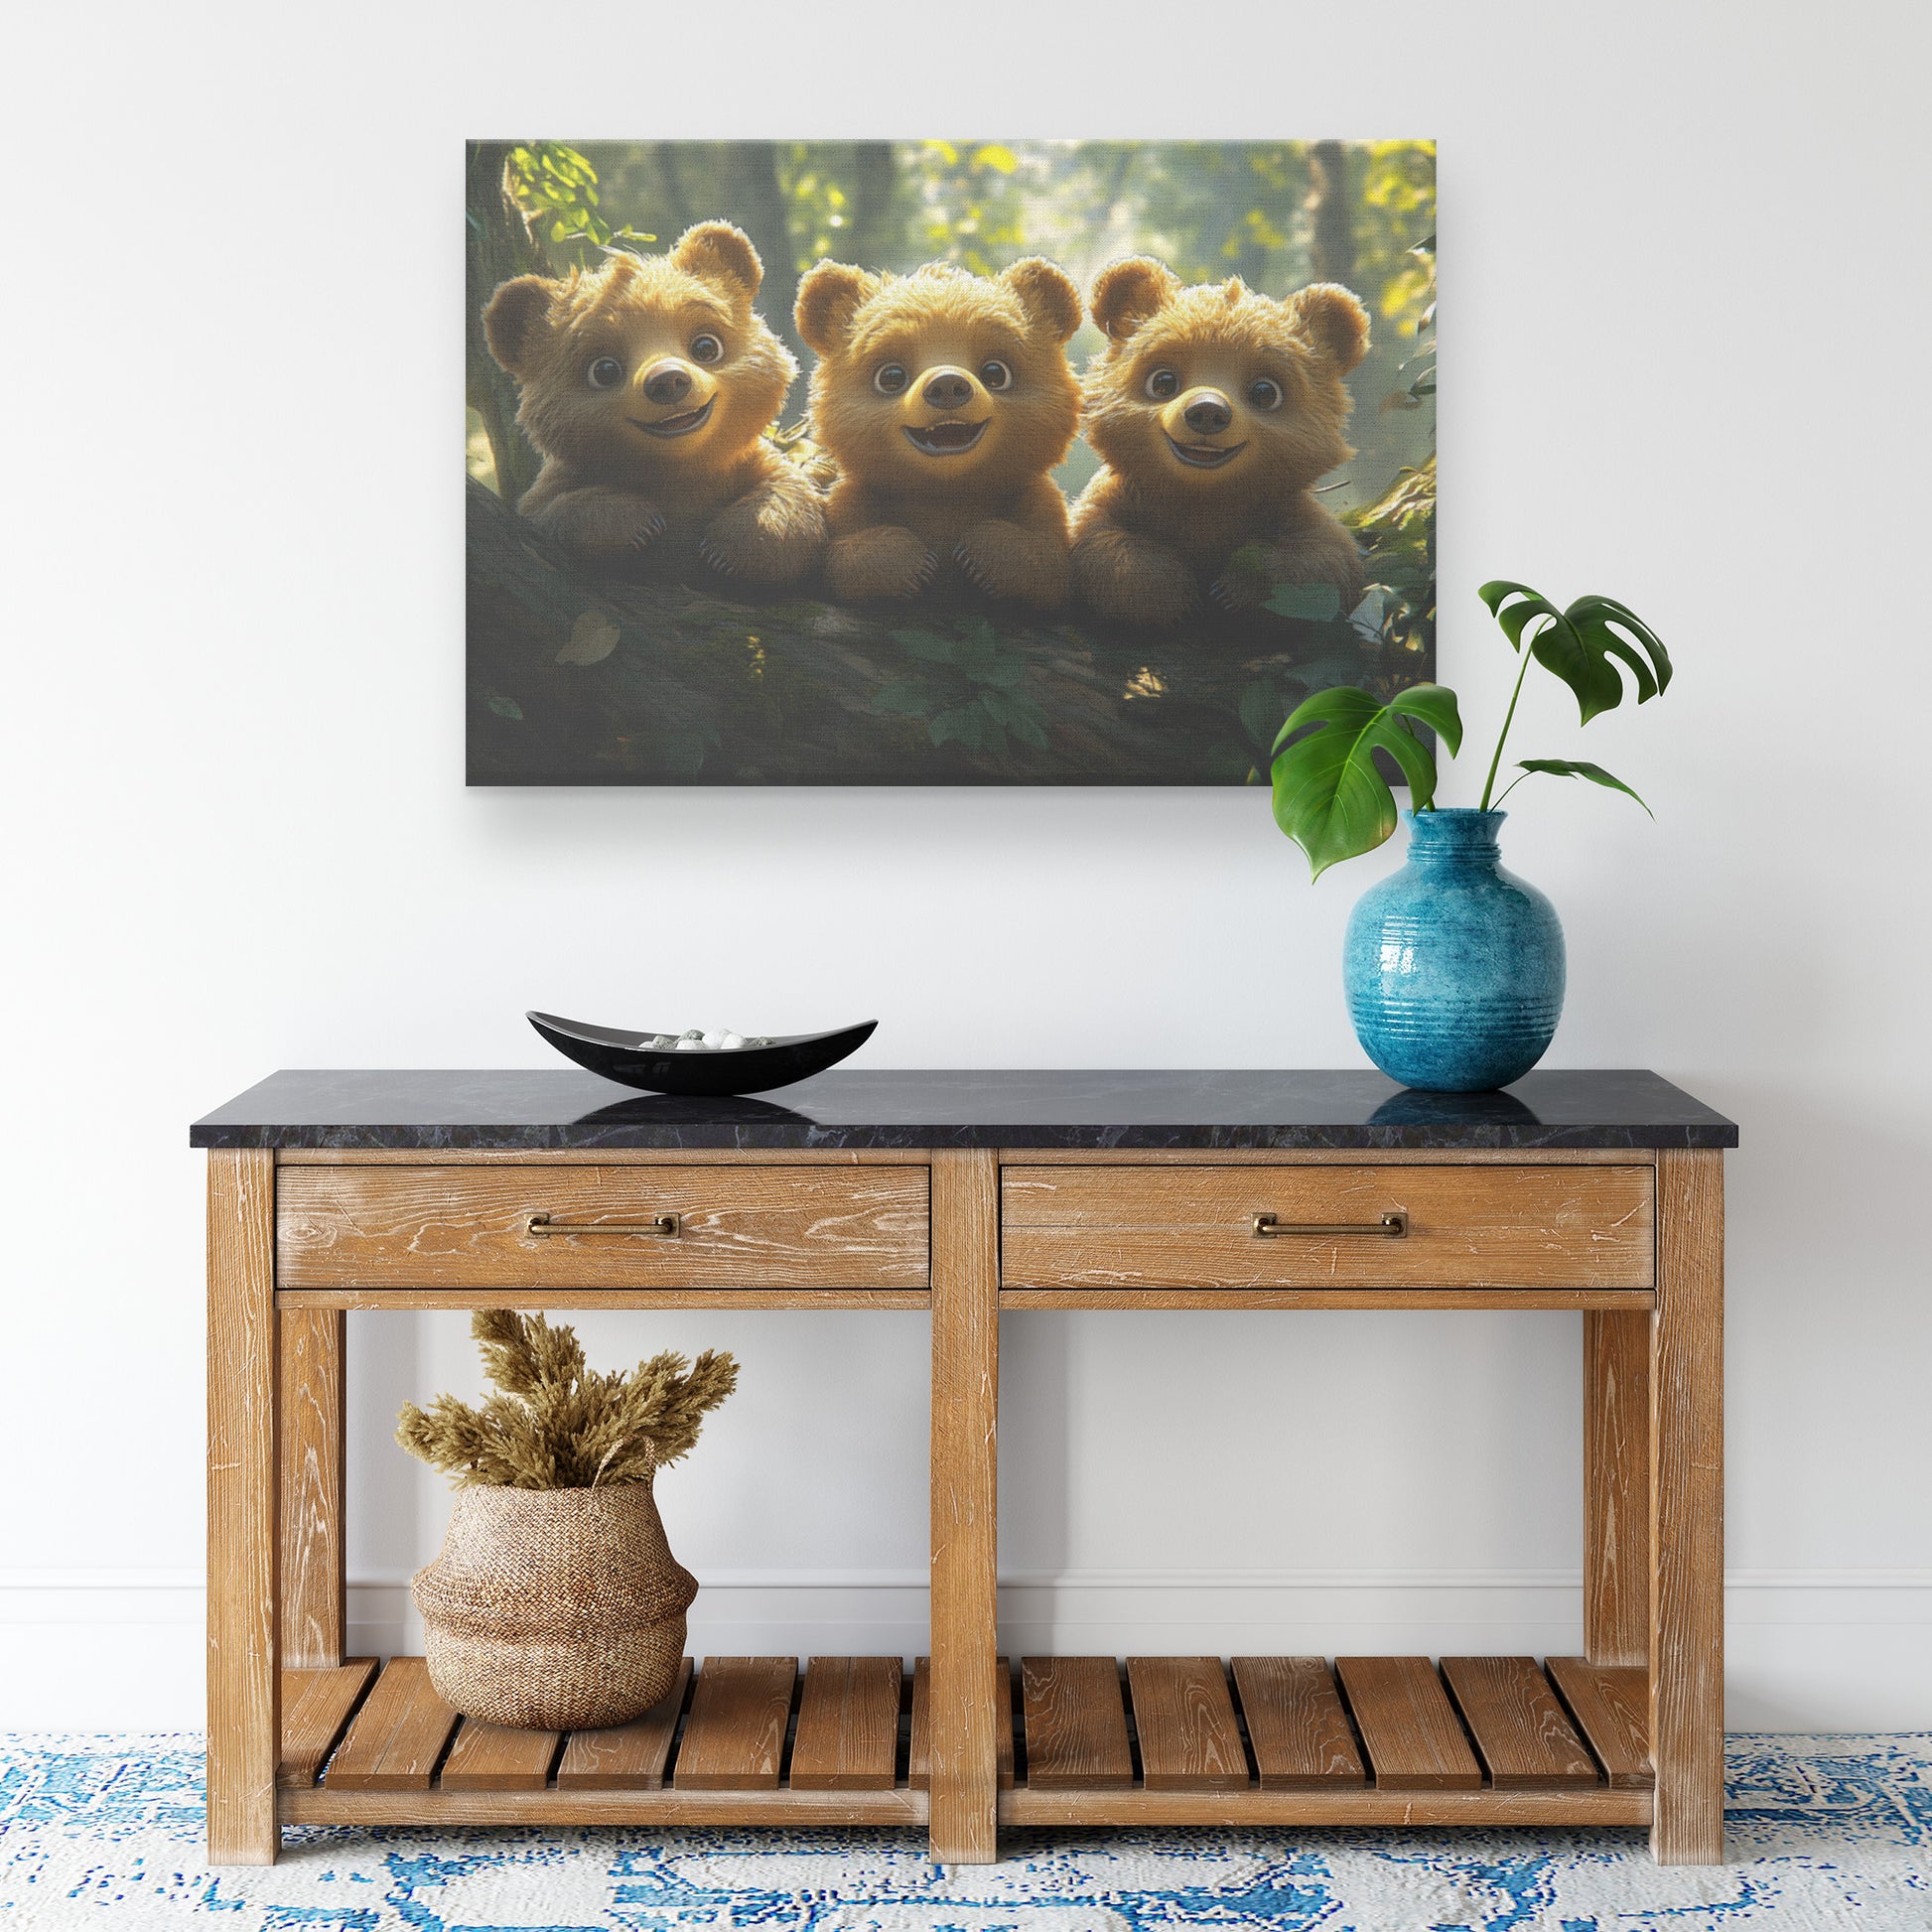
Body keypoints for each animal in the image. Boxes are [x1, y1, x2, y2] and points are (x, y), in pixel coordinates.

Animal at [482, 222, 825, 583]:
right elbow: (547, 509)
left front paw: (728, 550)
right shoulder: (561, 481)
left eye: (706, 347)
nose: (667, 380)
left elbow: (792, 501)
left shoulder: (748, 462)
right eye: (604, 370)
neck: (678, 470)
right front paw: (636, 522)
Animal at [794, 257, 1083, 609]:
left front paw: (985, 553)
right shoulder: (856, 496)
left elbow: (1047, 566)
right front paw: (907, 563)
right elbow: (847, 559)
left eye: (995, 372)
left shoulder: (1036, 497)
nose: (947, 384)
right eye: (890, 376)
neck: (945, 492)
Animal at [1069, 259, 1371, 627]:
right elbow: (1100, 544)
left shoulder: (1281, 505)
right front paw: (1177, 595)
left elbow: (1326, 561)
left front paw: (1233, 588)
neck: (1205, 495)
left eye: (1265, 391)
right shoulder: (1123, 494)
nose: (1207, 411)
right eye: (1163, 381)